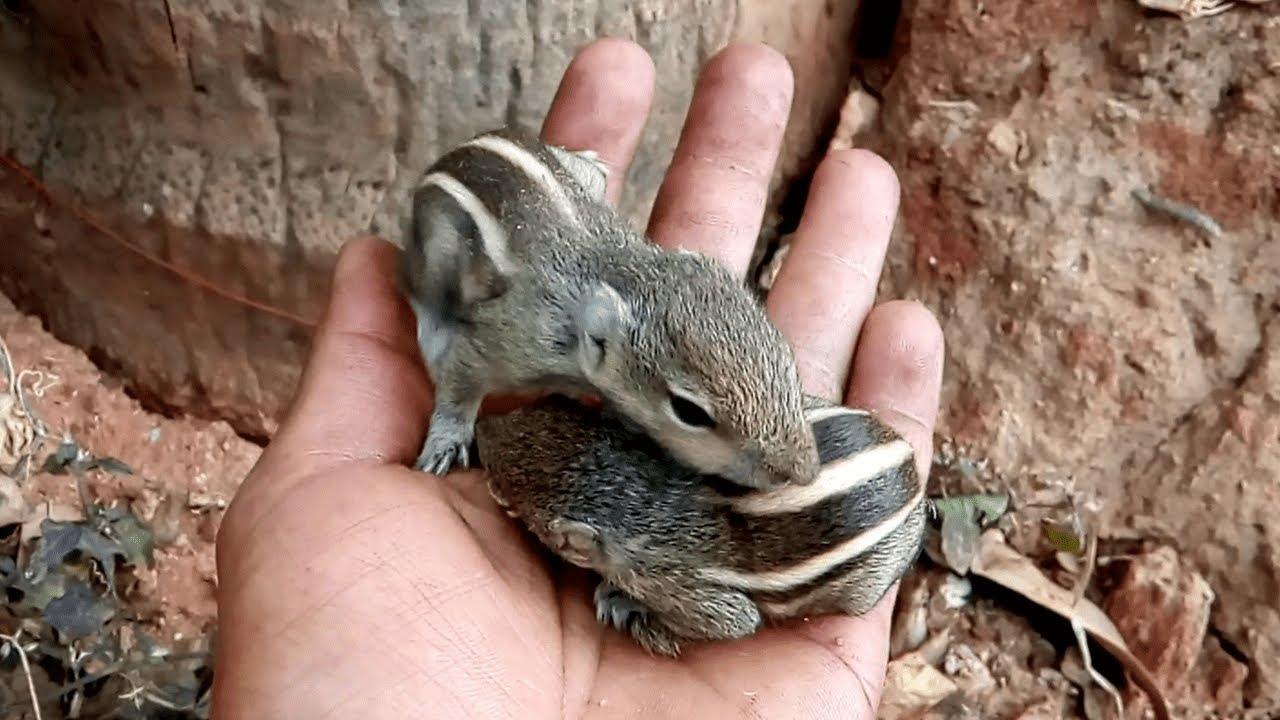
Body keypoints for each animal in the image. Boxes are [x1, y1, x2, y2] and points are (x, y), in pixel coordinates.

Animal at [397, 127, 821, 491]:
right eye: (689, 412)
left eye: (786, 358)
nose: (805, 472)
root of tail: (457, 151)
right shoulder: (510, 340)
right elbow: (460, 381)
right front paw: (446, 442)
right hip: (437, 250)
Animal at [472, 392, 928, 657]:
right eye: (553, 406)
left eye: (507, 498)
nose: (480, 428)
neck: (643, 497)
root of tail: (911, 467)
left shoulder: (682, 590)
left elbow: (734, 622)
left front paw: (627, 607)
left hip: (867, 584)